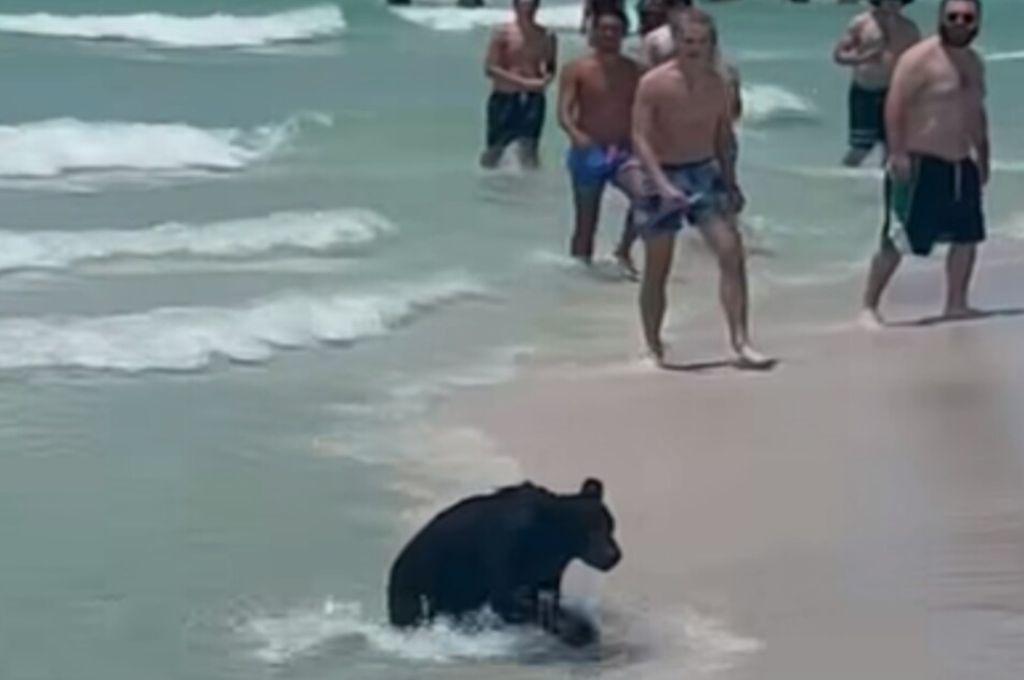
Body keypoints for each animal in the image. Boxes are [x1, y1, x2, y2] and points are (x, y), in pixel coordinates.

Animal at [386, 478, 621, 647]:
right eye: (590, 530)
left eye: (610, 525)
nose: (614, 555)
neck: (550, 539)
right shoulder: (505, 549)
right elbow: (509, 598)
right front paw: (577, 629)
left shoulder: (549, 567)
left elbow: (547, 597)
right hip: (418, 581)